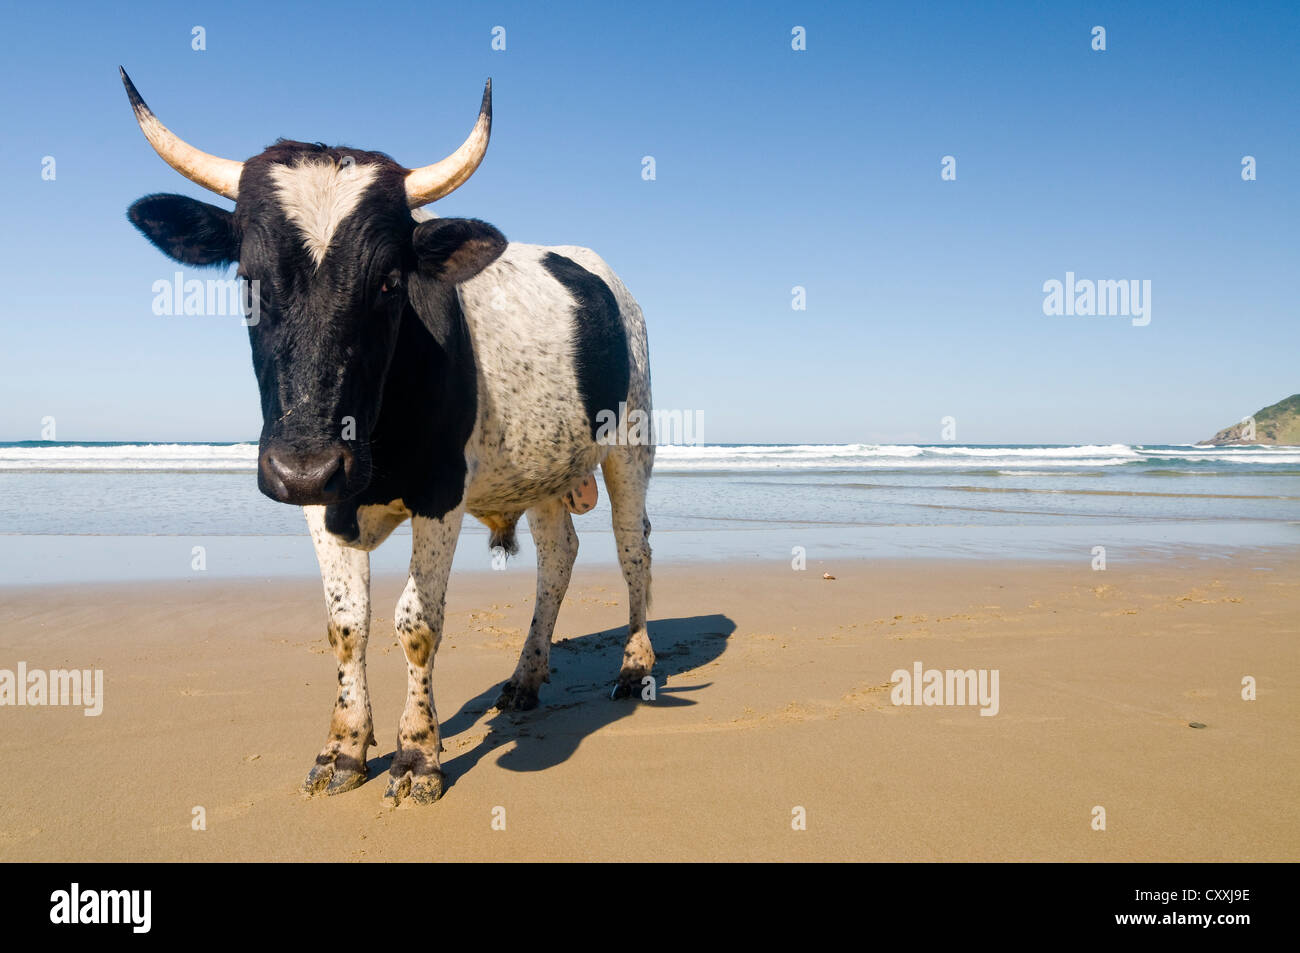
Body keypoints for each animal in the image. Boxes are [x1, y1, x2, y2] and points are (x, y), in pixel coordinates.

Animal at [119, 68, 655, 806]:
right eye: (248, 276)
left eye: (389, 280)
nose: (305, 467)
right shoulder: (321, 499)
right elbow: (348, 624)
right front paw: (345, 747)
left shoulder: (440, 492)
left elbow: (416, 623)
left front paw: (418, 753)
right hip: (543, 471)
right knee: (558, 557)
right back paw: (524, 677)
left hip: (632, 444)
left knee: (634, 551)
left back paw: (635, 667)